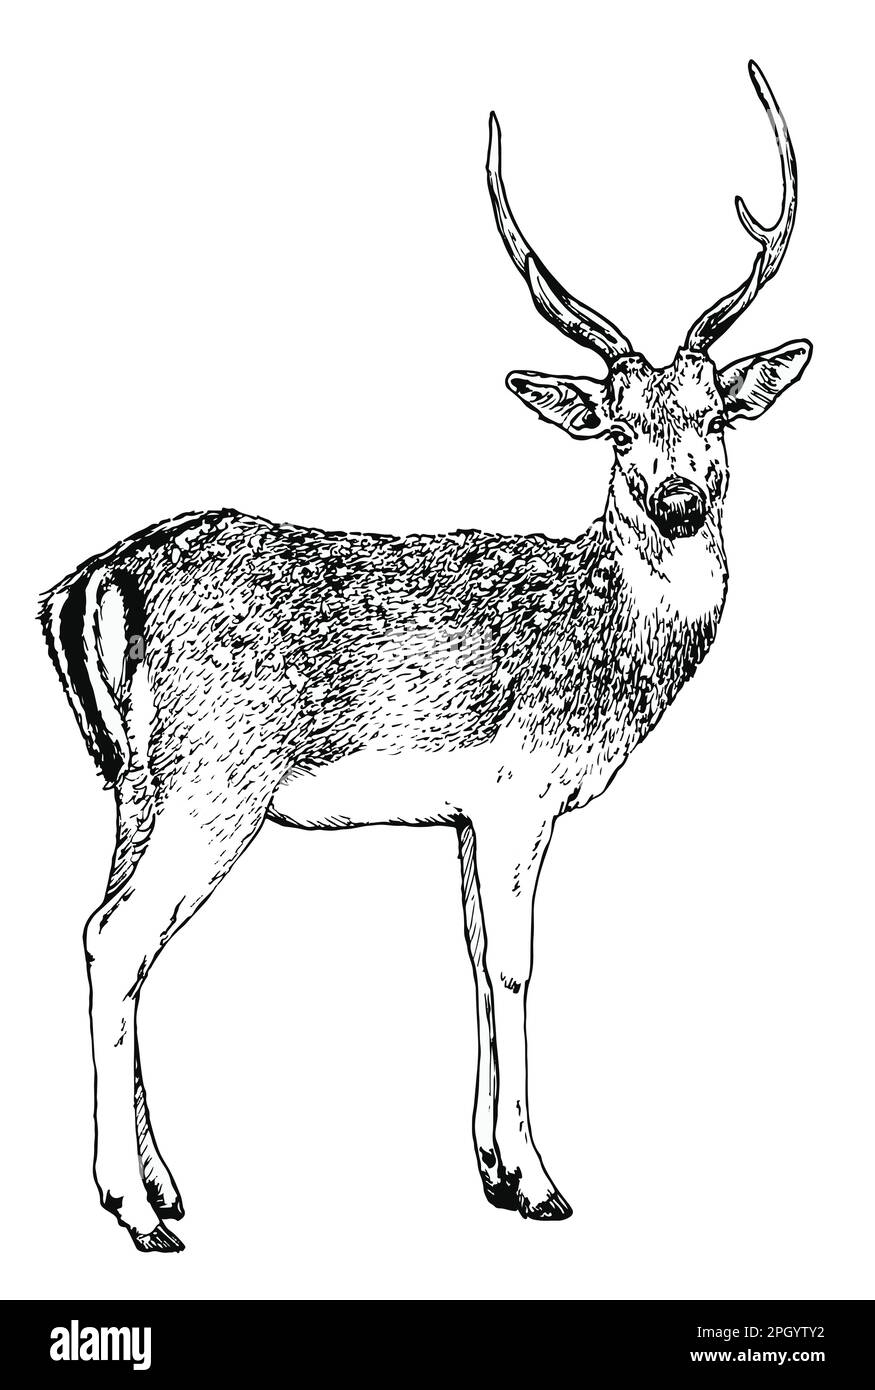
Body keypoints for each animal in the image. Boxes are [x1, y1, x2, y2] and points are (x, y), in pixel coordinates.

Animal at [41, 61, 810, 1252]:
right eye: (615, 425)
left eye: (715, 415)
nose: (679, 498)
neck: (605, 658)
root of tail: (93, 583)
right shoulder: (521, 790)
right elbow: (516, 962)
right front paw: (539, 1181)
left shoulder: (463, 812)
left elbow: (472, 958)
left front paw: (490, 1170)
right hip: (216, 777)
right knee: (115, 936)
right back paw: (137, 1210)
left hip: (133, 782)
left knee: (106, 931)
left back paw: (163, 1184)